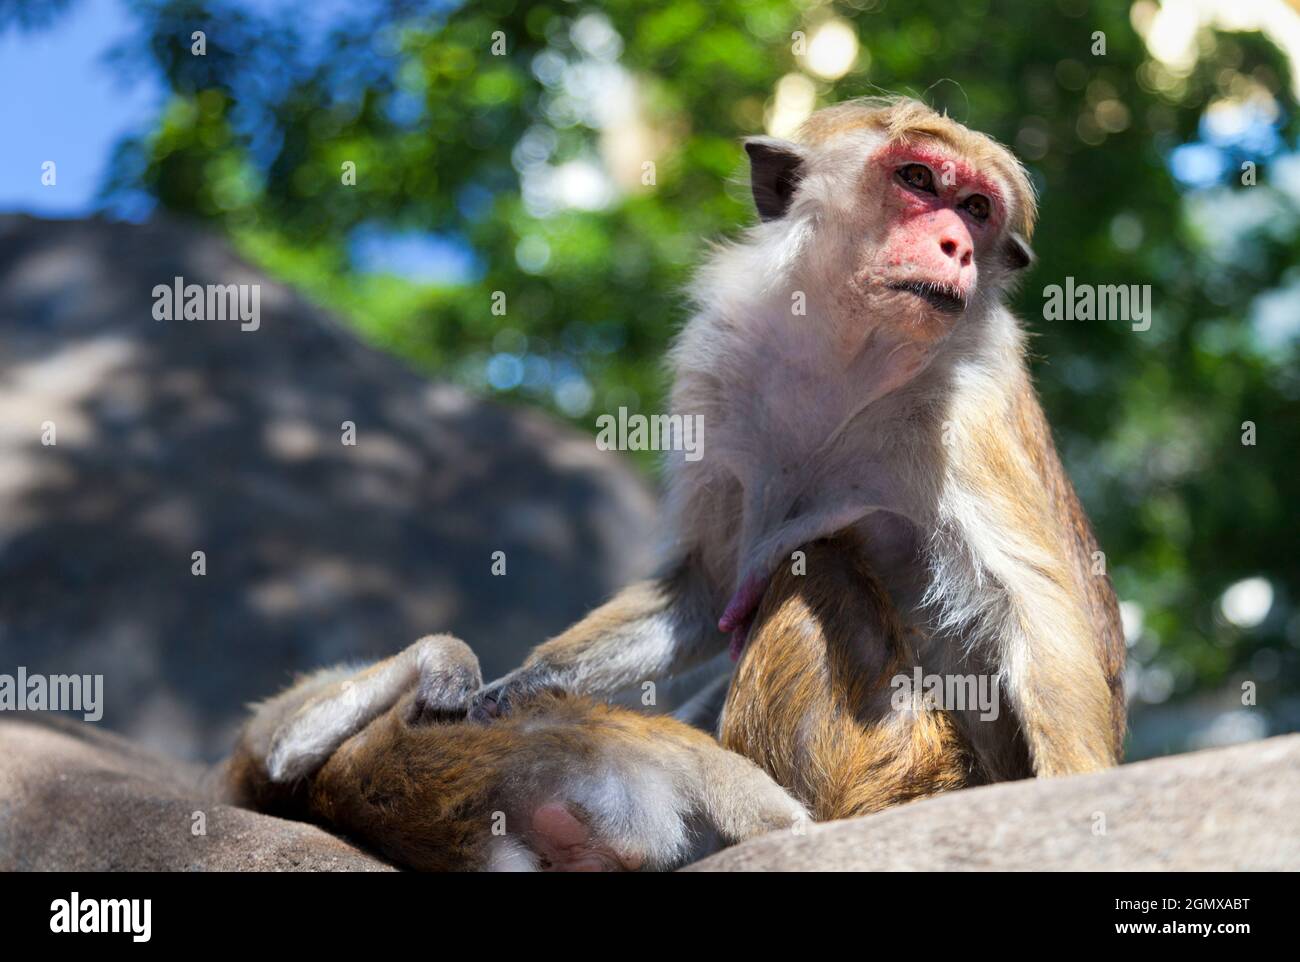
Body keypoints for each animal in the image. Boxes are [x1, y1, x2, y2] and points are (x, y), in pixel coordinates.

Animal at [471, 96, 1125, 788]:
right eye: (918, 179)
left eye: (976, 208)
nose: (957, 247)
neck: (846, 356)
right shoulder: (715, 360)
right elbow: (707, 584)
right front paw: (519, 683)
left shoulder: (968, 399)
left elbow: (1029, 601)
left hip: (907, 761)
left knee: (814, 563)